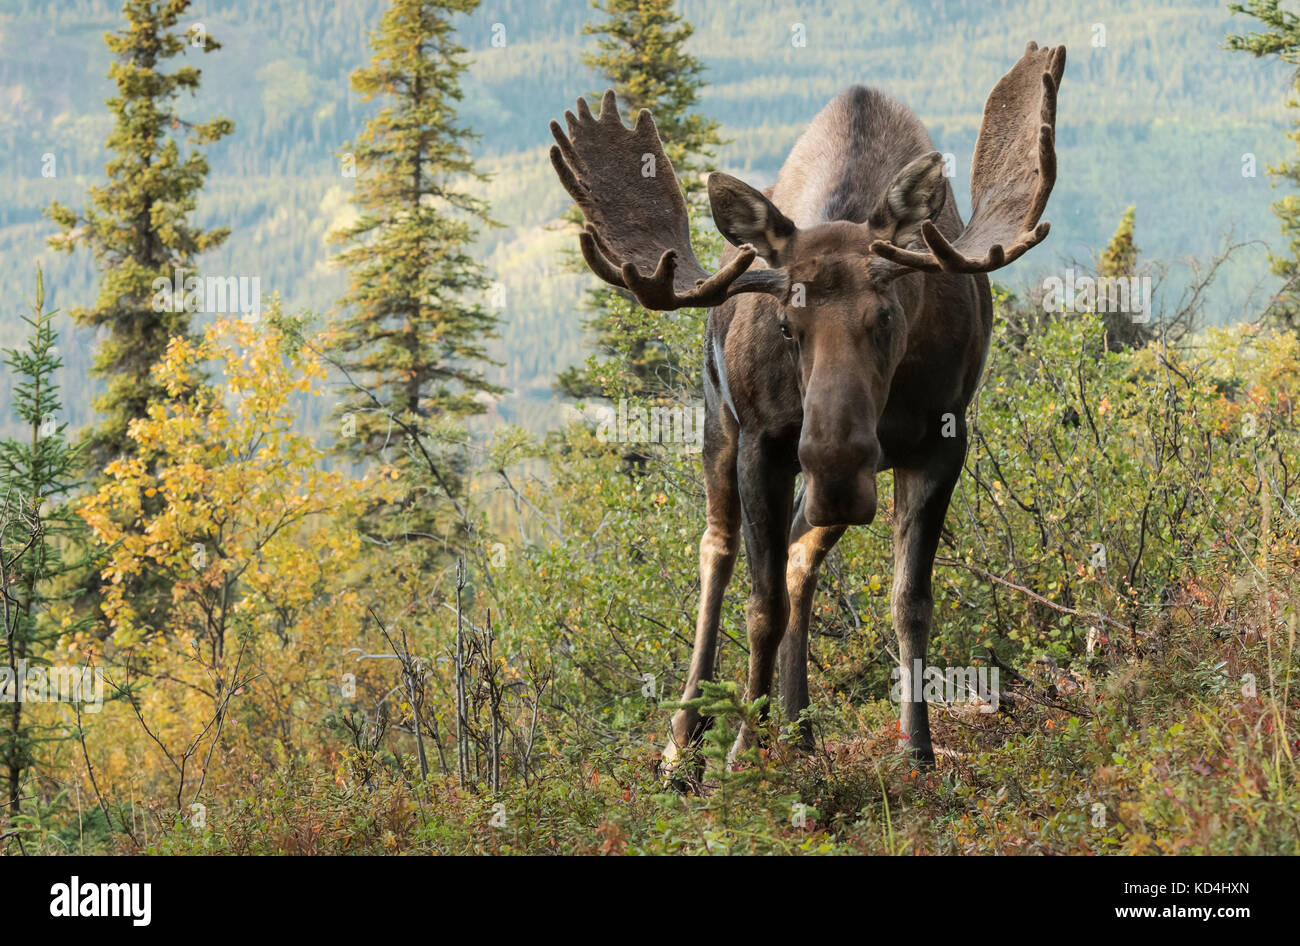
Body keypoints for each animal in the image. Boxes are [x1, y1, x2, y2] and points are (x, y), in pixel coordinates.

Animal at [549, 42, 1066, 774]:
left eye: (887, 315)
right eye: (786, 327)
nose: (835, 463)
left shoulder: (942, 440)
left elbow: (909, 601)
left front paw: (918, 753)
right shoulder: (764, 441)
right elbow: (760, 604)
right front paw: (743, 748)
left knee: (799, 555)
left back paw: (797, 729)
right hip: (718, 424)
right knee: (717, 552)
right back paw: (686, 741)